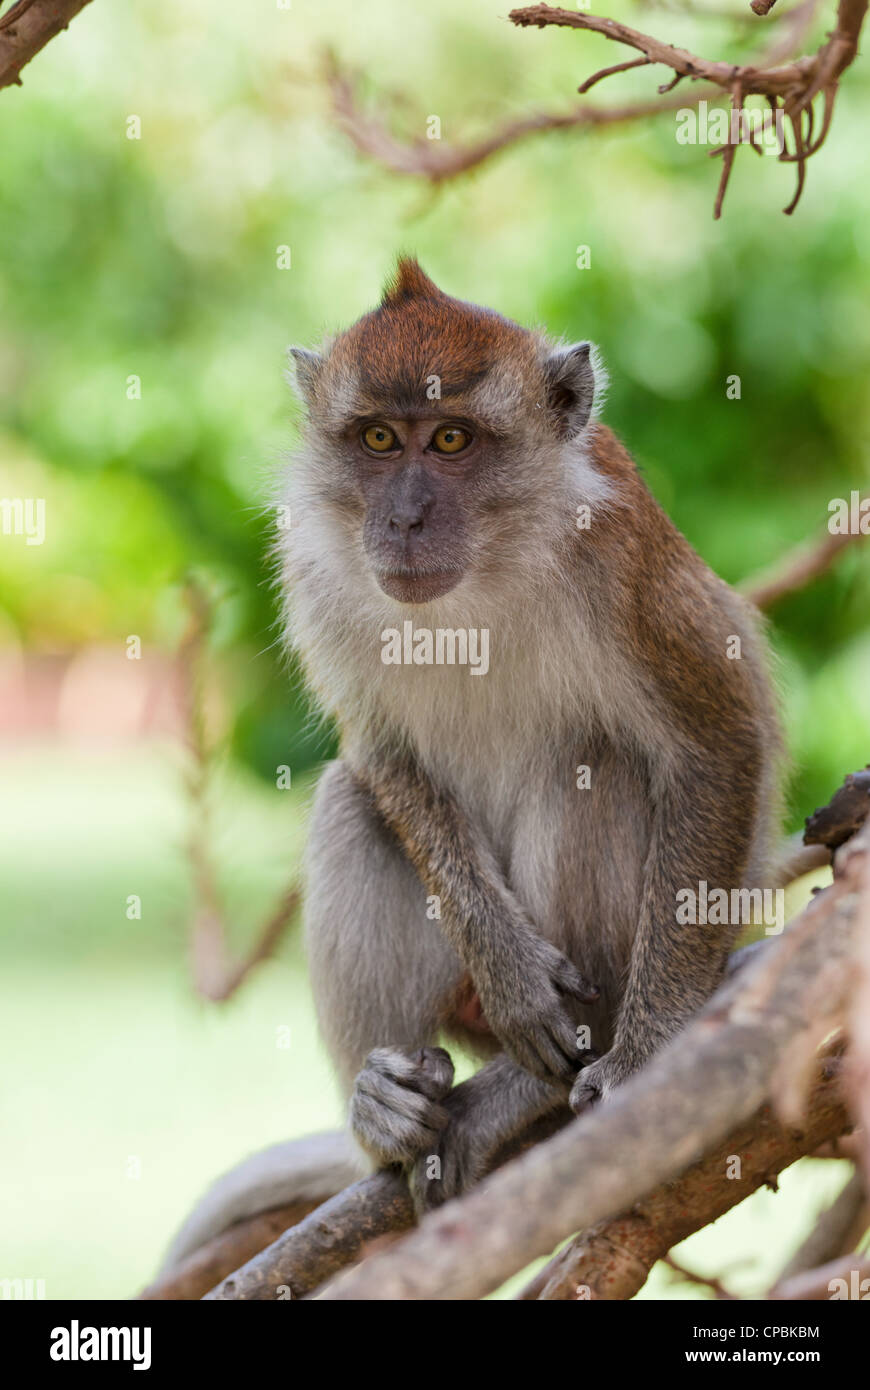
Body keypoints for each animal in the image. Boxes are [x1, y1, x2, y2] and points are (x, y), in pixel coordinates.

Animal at [160, 258, 782, 1271]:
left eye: (451, 439)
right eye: (378, 438)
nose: (405, 517)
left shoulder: (620, 561)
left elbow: (719, 742)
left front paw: (646, 1058)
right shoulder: (312, 563)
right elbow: (381, 754)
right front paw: (511, 970)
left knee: (596, 766)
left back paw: (565, 1060)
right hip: (457, 1012)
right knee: (351, 802)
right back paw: (385, 1115)